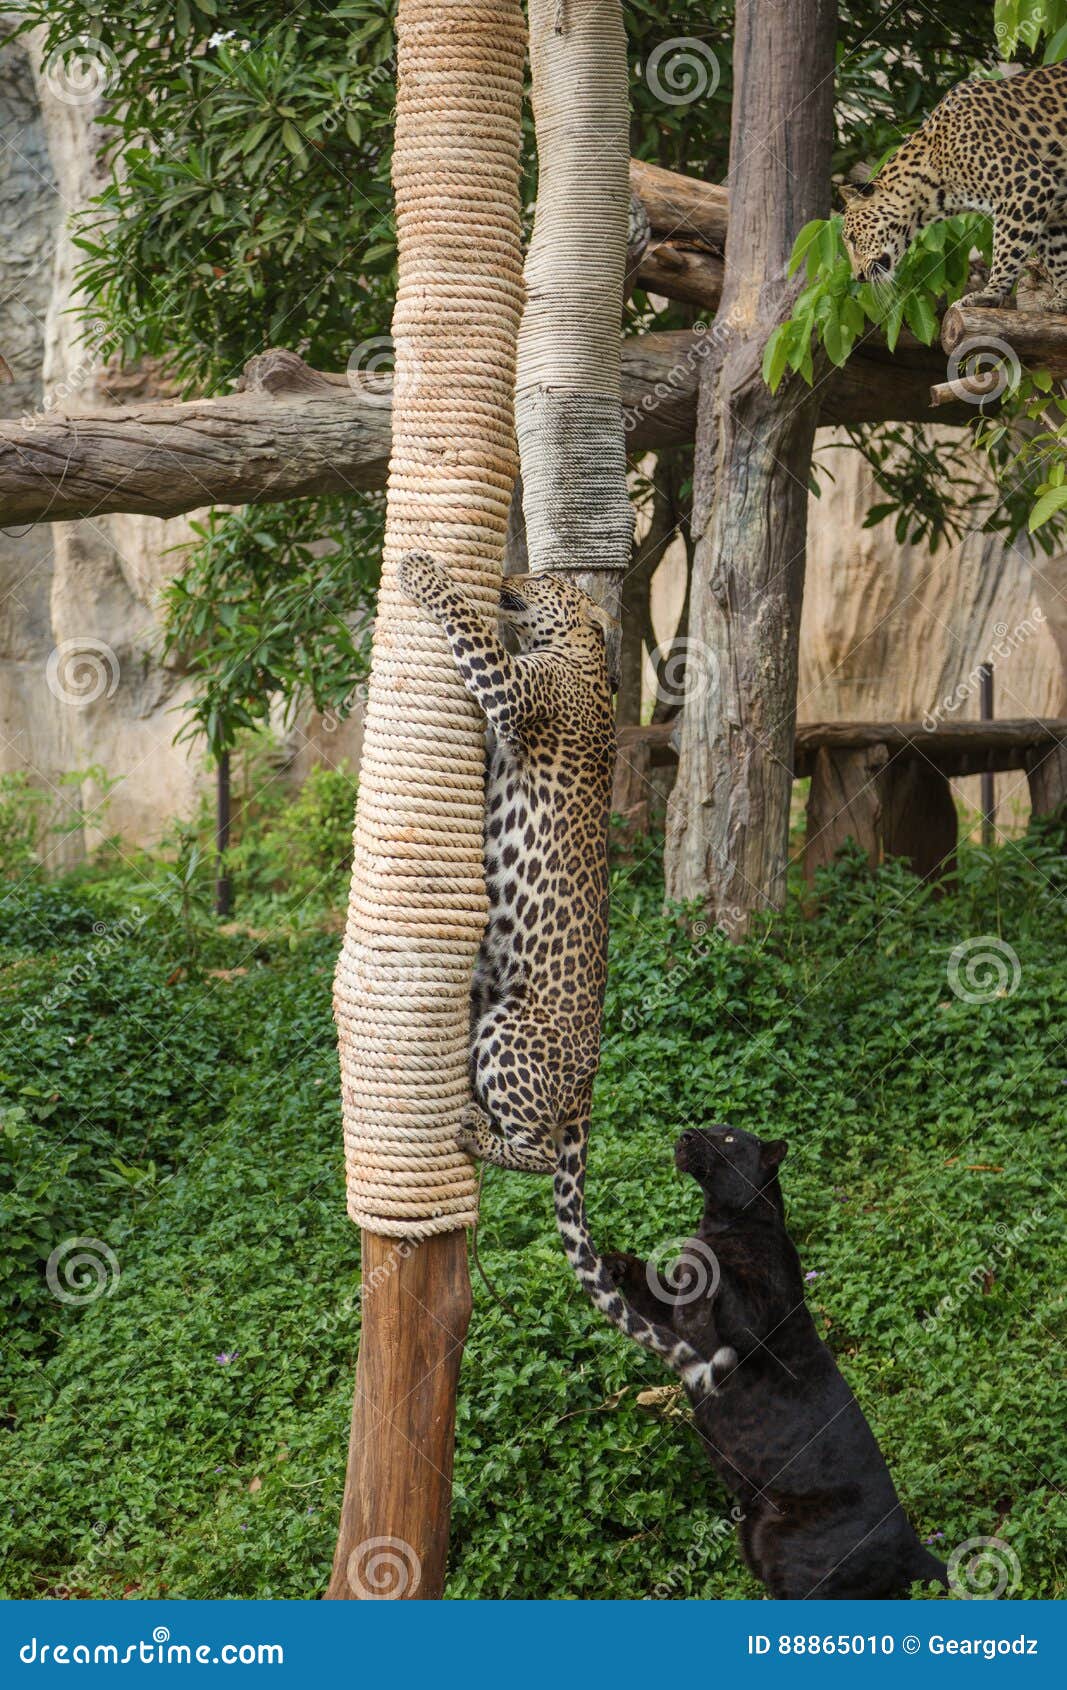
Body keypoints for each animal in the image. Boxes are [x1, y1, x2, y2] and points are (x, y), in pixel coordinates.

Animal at [397, 551, 730, 1401]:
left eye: (543, 579)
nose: (513, 573)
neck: (582, 658)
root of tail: (588, 1080)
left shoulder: (514, 695)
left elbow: (471, 629)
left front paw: (421, 568)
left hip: (507, 1032)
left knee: (541, 1152)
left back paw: (471, 1129)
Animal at [840, 63, 1067, 310]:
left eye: (853, 239)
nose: (859, 276)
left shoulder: (1027, 182)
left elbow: (1007, 248)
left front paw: (990, 292)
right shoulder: (1053, 211)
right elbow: (1058, 255)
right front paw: (1063, 299)